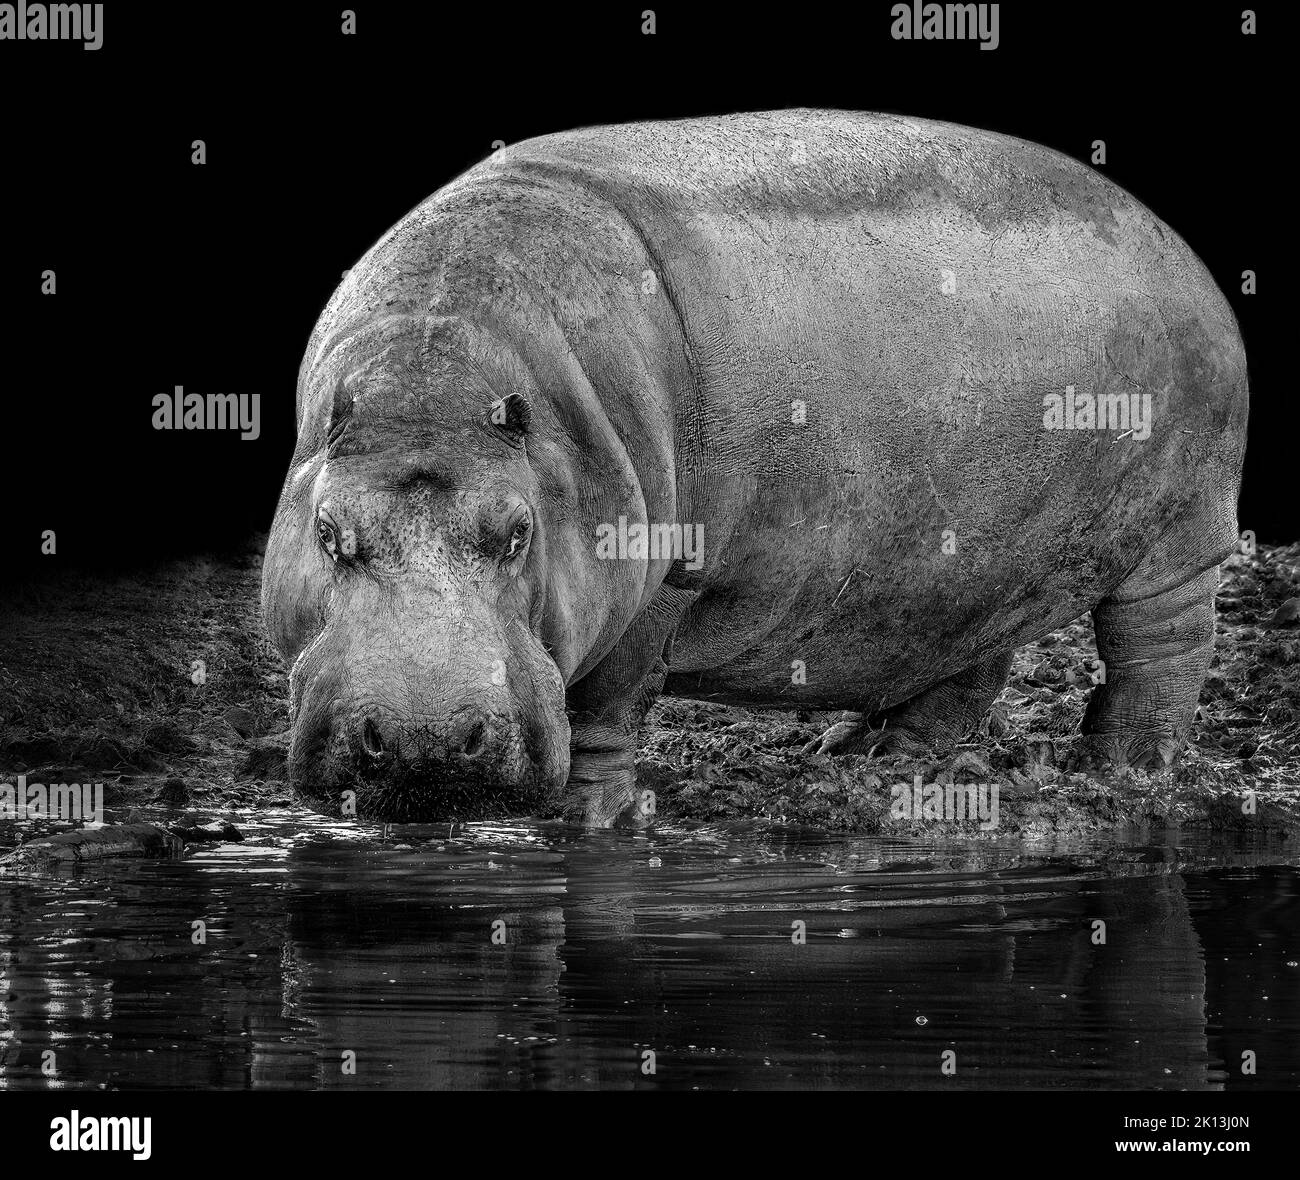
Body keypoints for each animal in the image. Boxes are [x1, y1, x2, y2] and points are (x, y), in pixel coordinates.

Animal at [262, 110, 1248, 827]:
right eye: (329, 532)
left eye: (516, 534)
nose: (426, 740)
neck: (441, 365)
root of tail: (1179, 247)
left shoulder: (662, 581)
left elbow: (605, 712)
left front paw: (590, 823)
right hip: (974, 554)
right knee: (968, 653)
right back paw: (858, 754)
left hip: (1183, 535)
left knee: (1160, 651)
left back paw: (1120, 771)